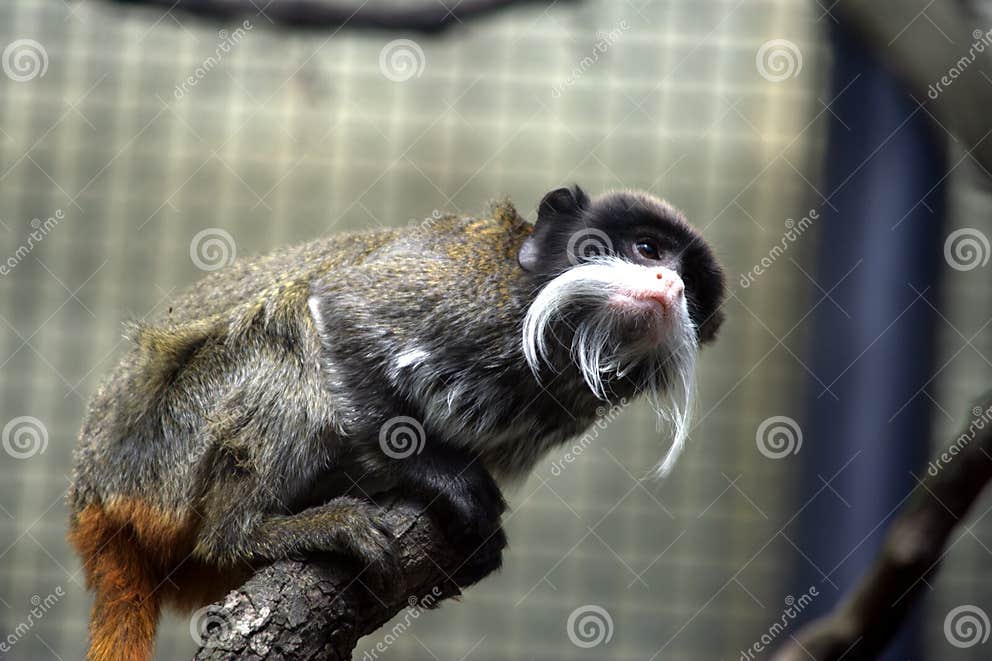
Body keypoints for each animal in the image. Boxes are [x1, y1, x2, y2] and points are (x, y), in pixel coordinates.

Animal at [67, 185, 726, 661]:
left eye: (689, 284)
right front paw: (442, 478)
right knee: (288, 325)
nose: (669, 283)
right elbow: (338, 310)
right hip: (166, 456)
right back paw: (249, 530)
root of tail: (94, 493)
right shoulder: (473, 292)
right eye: (646, 250)